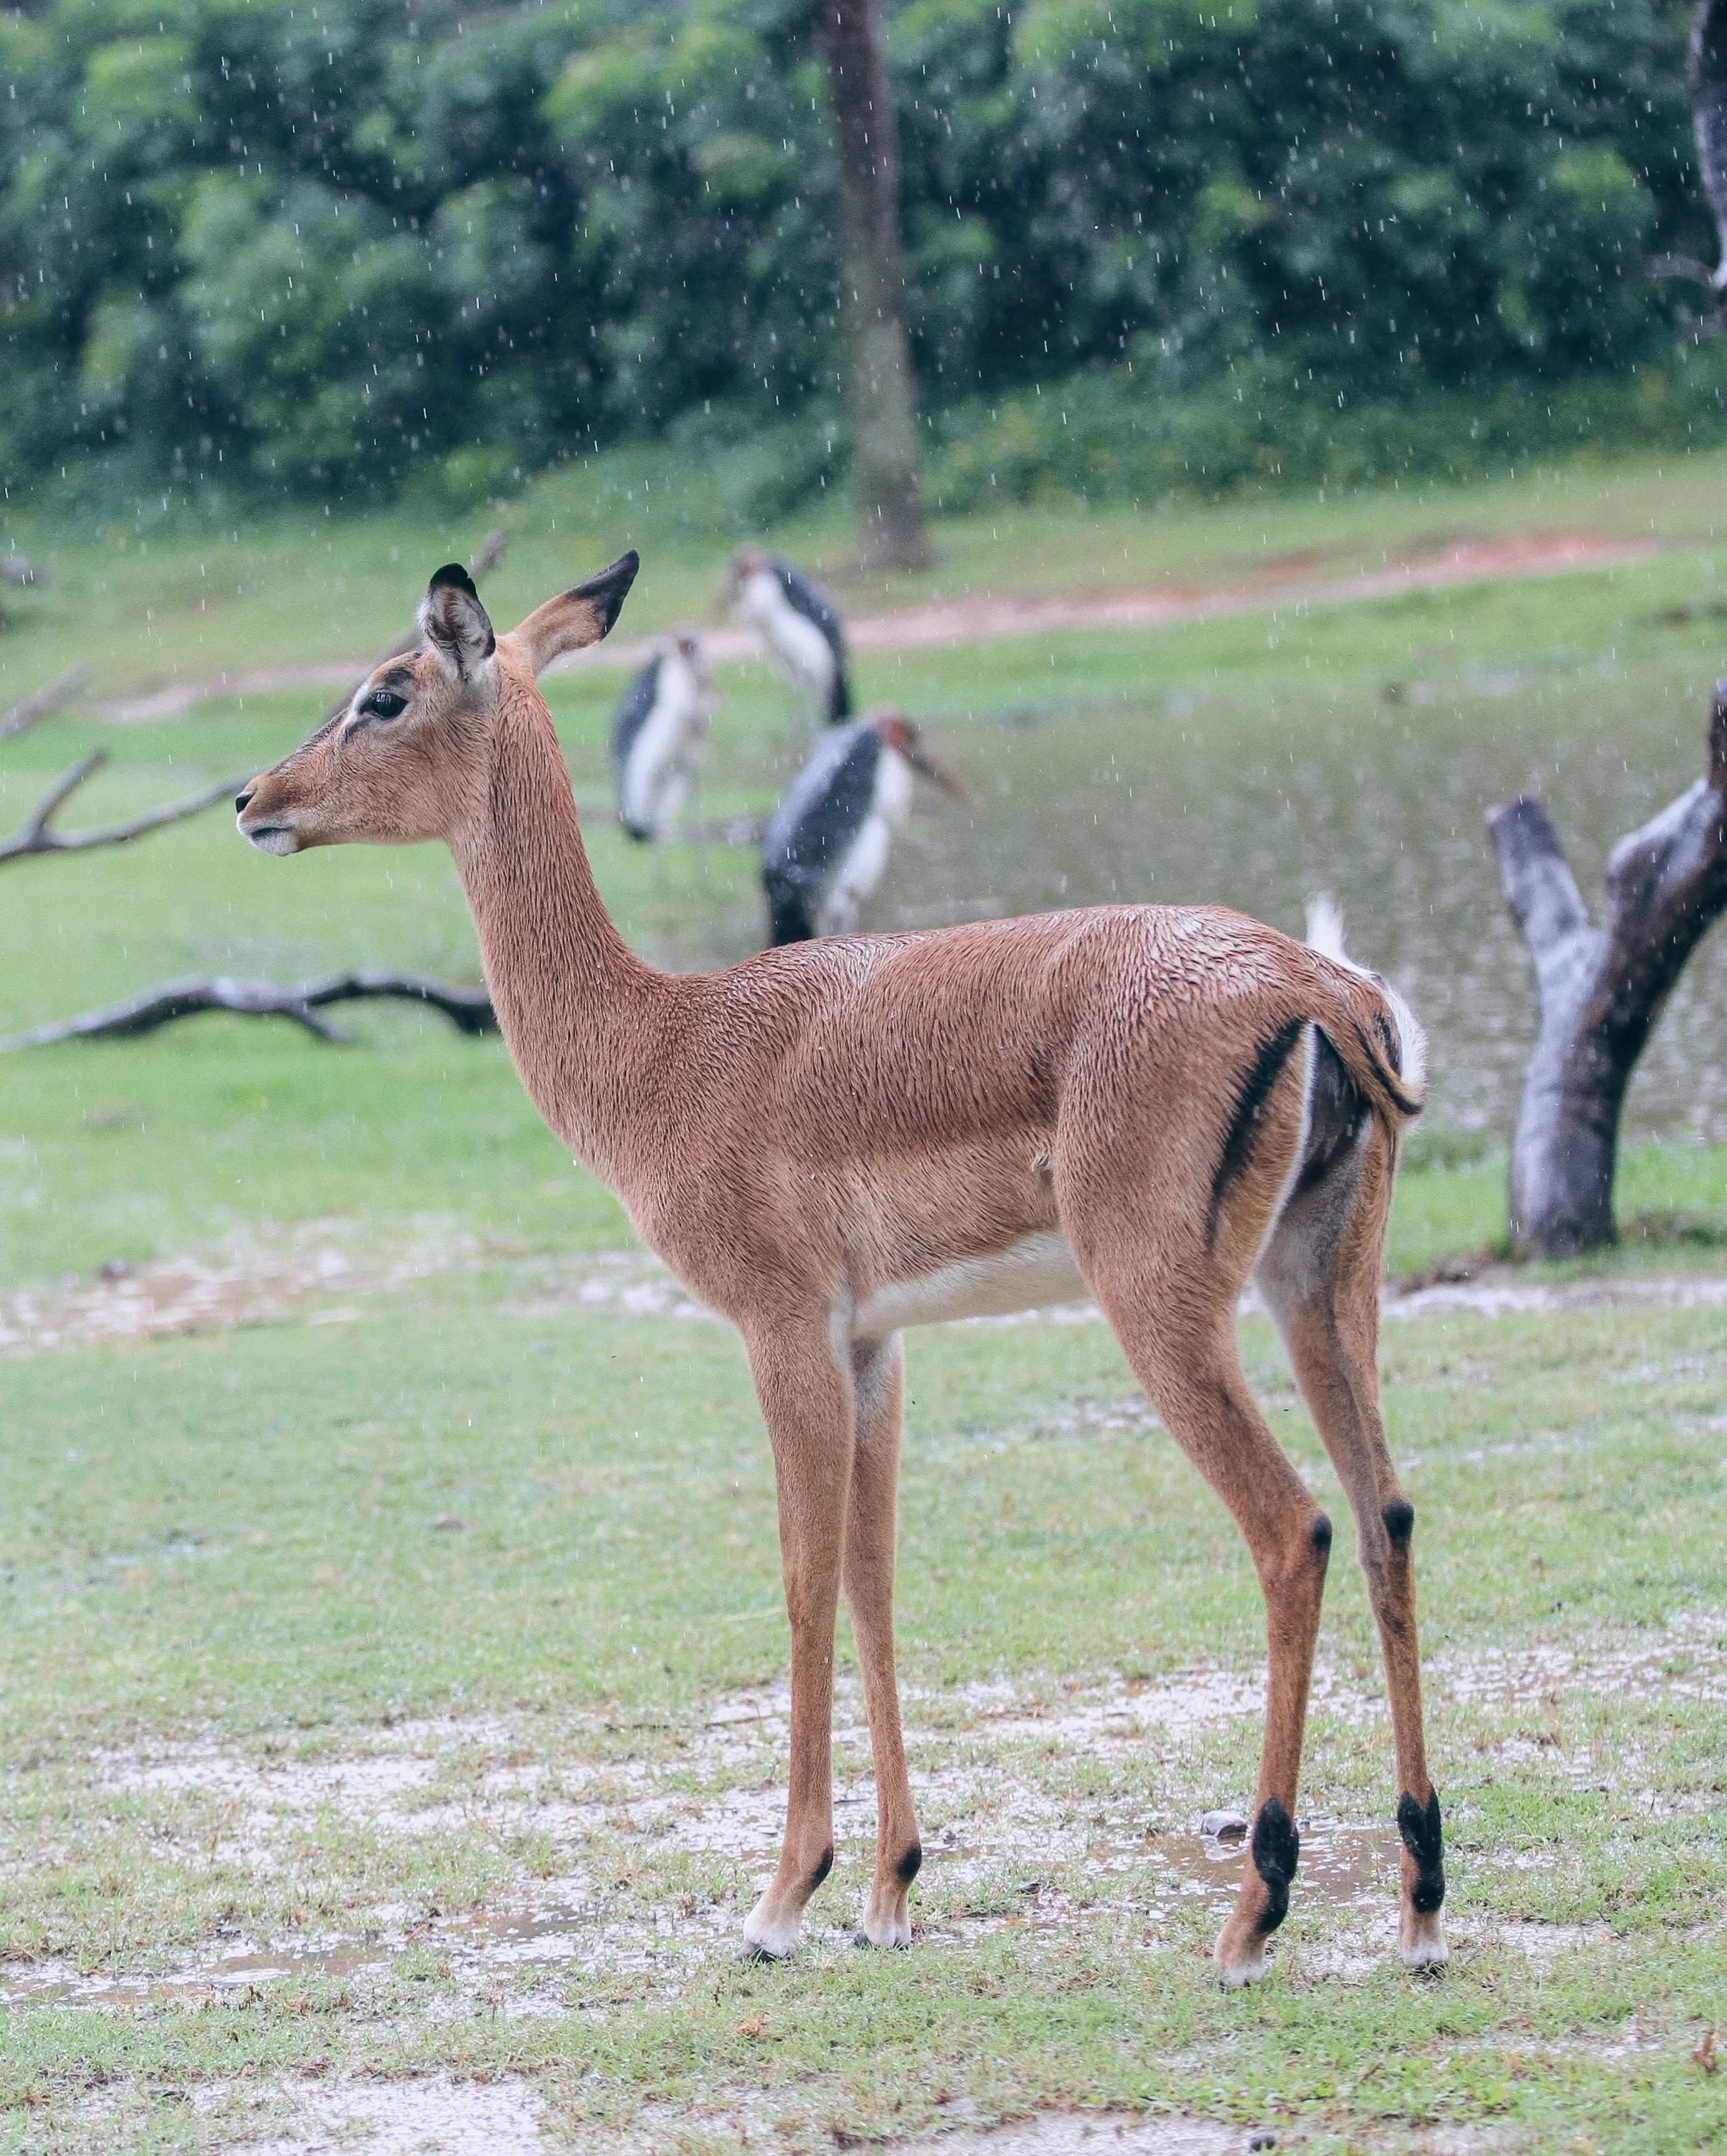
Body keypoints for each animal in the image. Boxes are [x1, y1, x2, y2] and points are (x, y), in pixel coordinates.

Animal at [236, 555, 1448, 1986]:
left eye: (386, 690)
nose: (253, 800)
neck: (667, 1046)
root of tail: (1316, 987)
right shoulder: (875, 1342)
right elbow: (874, 1576)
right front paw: (887, 1895)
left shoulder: (781, 1331)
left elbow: (801, 1574)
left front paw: (781, 1901)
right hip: (1320, 1291)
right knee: (1383, 1513)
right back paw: (1420, 1905)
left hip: (1164, 1311)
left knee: (1291, 1528)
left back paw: (1253, 1916)